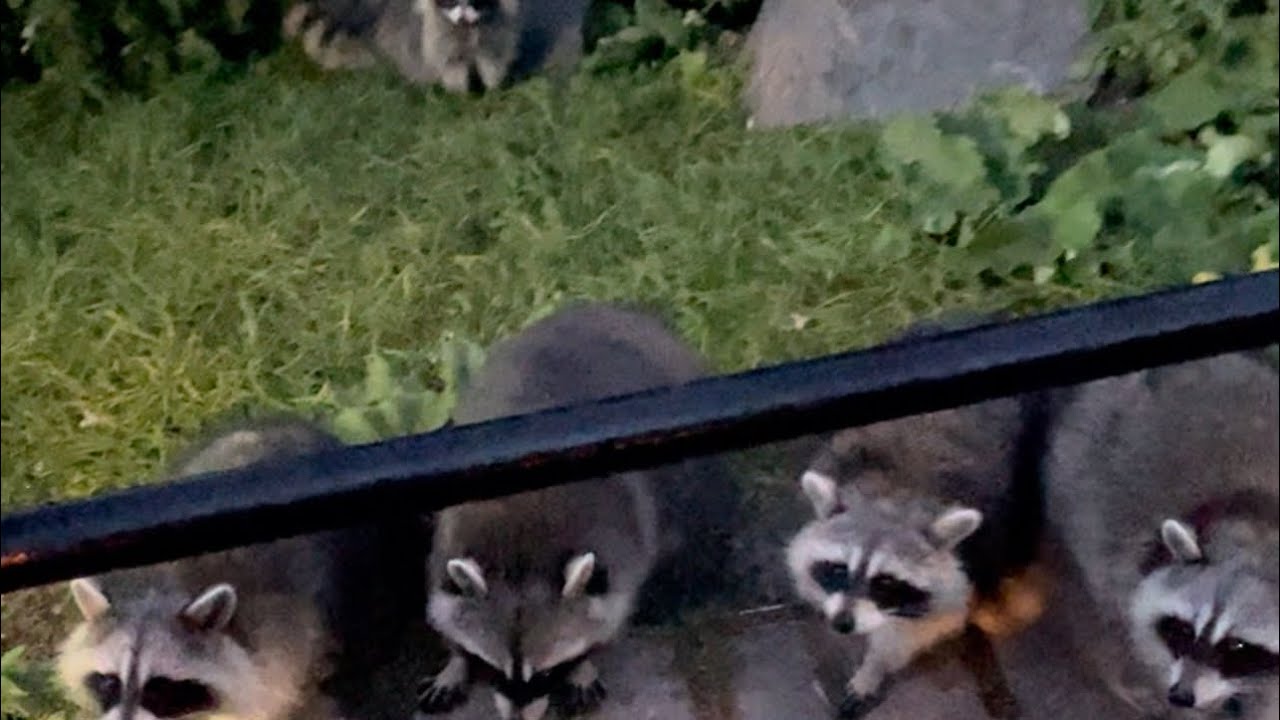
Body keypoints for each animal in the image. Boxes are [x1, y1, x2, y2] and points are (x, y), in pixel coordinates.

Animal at [415, 303, 737, 720]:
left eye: (545, 674)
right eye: (494, 671)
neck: (523, 558)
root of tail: (613, 310)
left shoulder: (622, 547)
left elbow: (611, 613)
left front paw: (584, 664)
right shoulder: (449, 537)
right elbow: (443, 606)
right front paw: (454, 662)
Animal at [786, 320, 1052, 718]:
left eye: (885, 582)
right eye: (838, 569)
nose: (843, 624)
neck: (889, 496)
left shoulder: (969, 555)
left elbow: (924, 624)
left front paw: (874, 667)